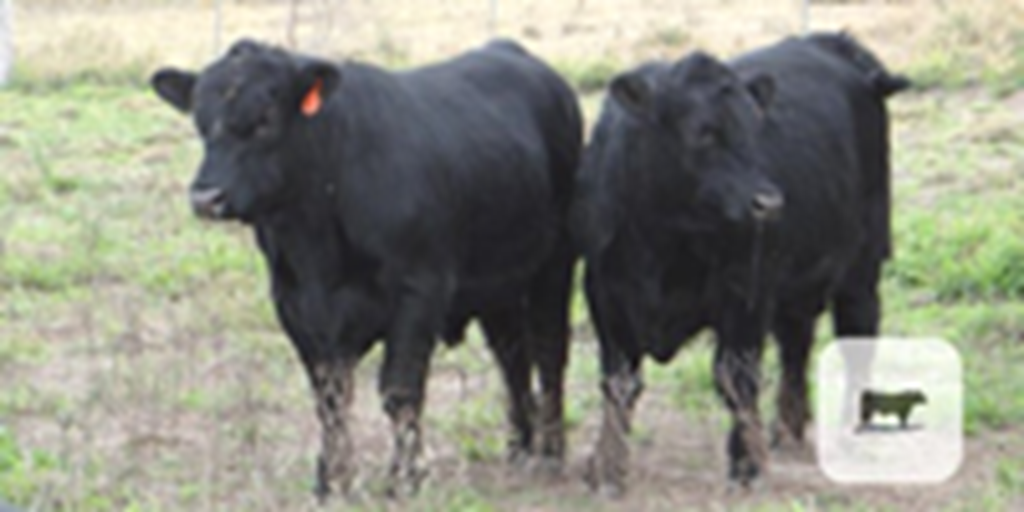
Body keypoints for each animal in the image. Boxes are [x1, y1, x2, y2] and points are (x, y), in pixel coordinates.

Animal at [151, 38, 582, 499]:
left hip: (555, 264)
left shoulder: (420, 291)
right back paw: (520, 447)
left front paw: (404, 478)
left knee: (549, 351)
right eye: (200, 122)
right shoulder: (295, 305)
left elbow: (399, 391)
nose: (206, 197)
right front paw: (330, 480)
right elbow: (330, 398)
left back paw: (551, 453)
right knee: (512, 356)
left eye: (265, 119)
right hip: (499, 284)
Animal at [571, 32, 908, 495]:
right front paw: (607, 469)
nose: (769, 203)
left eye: (754, 129)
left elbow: (736, 378)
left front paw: (746, 466)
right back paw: (786, 430)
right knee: (796, 345)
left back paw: (848, 433)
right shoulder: (606, 296)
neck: (665, 240)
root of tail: (834, 44)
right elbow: (619, 384)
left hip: (863, 266)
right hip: (795, 284)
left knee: (858, 337)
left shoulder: (745, 294)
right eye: (702, 133)